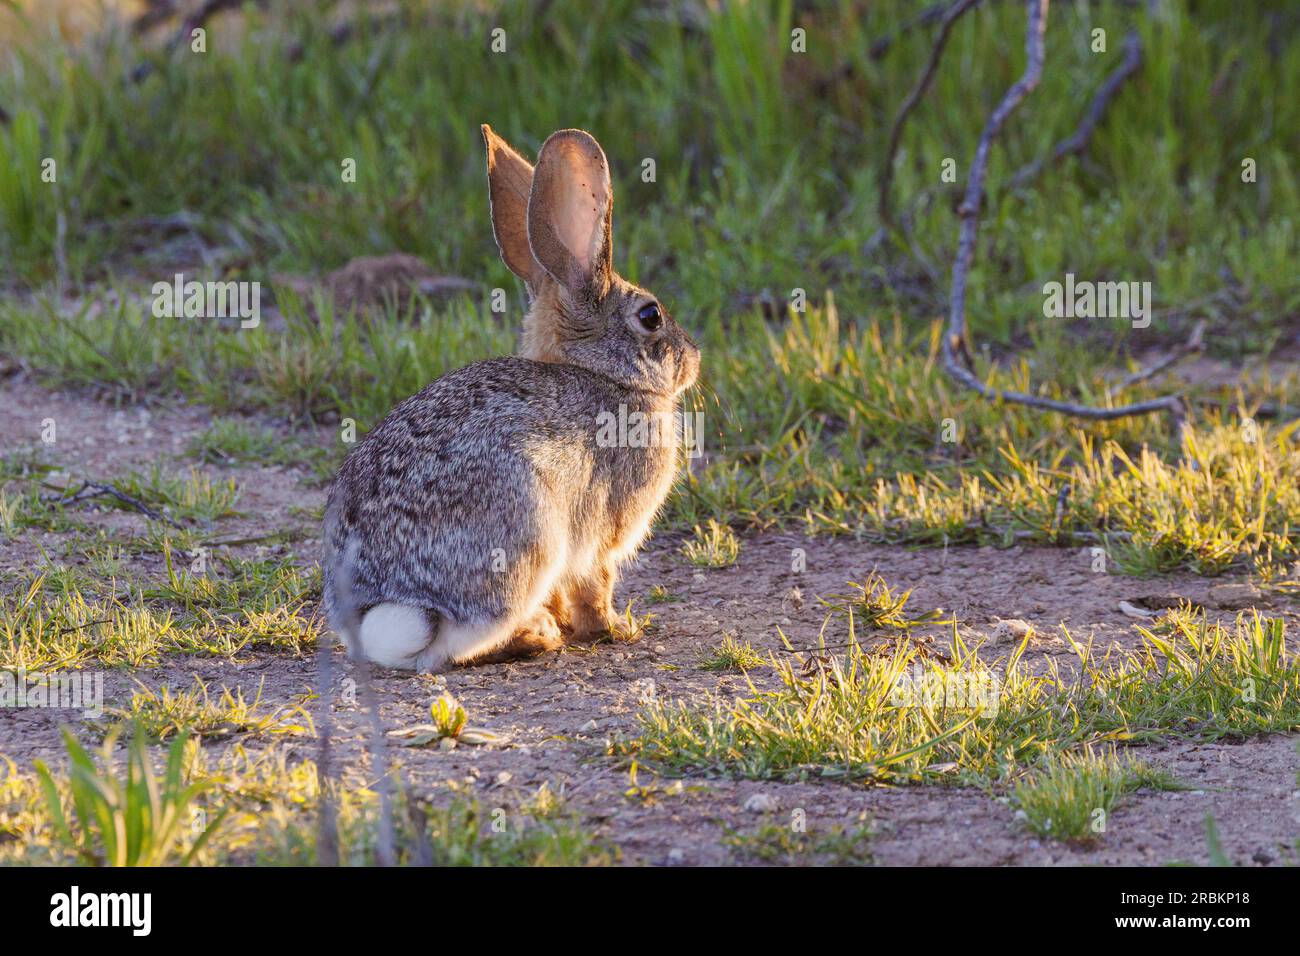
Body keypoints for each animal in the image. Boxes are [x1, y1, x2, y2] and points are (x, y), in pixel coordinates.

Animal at [320, 125, 700, 672]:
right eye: (651, 316)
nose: (693, 358)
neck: (600, 373)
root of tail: (384, 609)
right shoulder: (598, 538)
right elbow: (594, 585)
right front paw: (614, 629)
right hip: (528, 541)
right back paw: (534, 636)